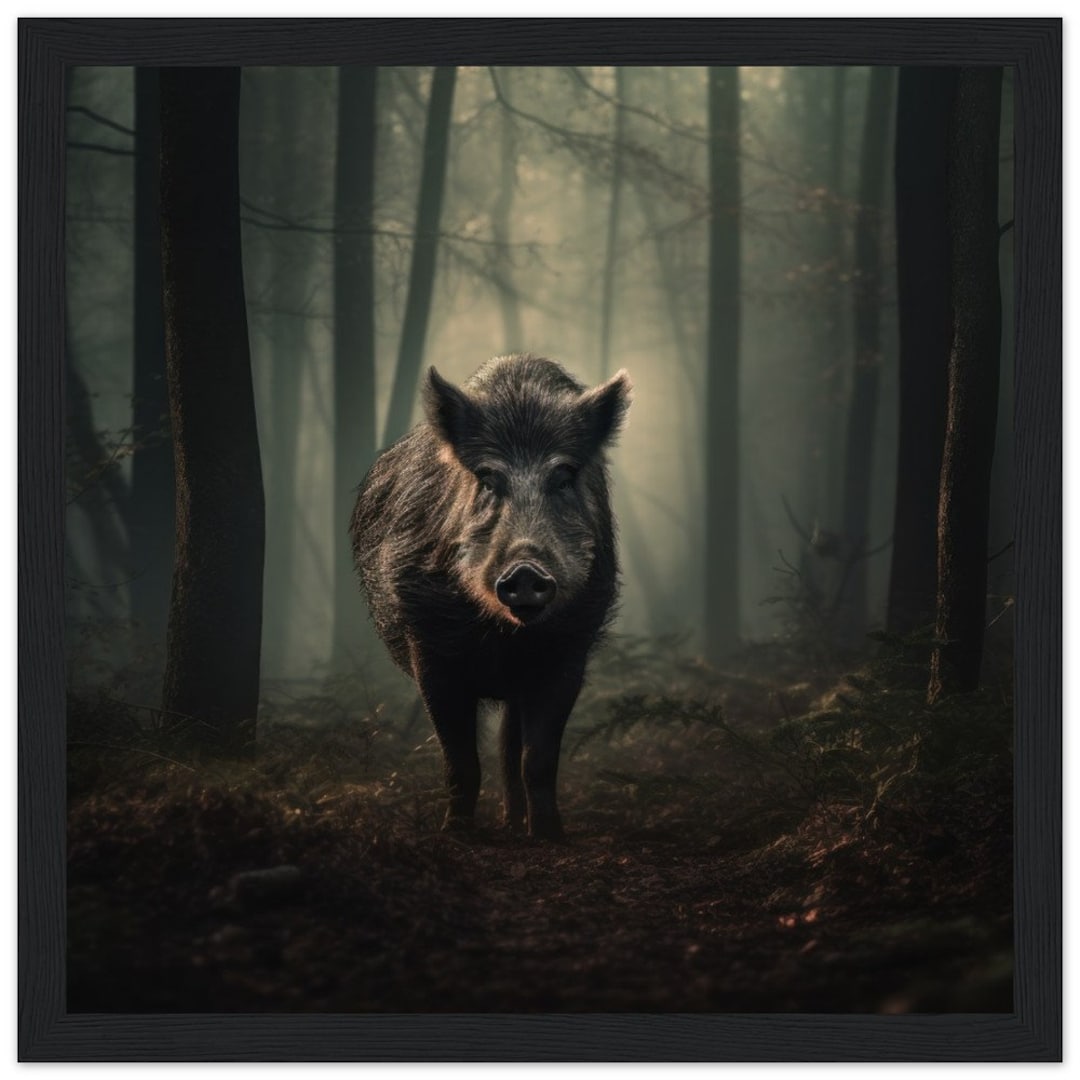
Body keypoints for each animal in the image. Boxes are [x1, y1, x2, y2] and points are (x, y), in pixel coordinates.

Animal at [351, 354, 631, 839]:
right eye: (485, 478)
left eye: (563, 478)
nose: (525, 570)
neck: (505, 635)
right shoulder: (430, 649)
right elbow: (460, 761)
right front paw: (454, 834)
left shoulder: (568, 651)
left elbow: (538, 758)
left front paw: (548, 836)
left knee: (509, 749)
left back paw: (516, 826)